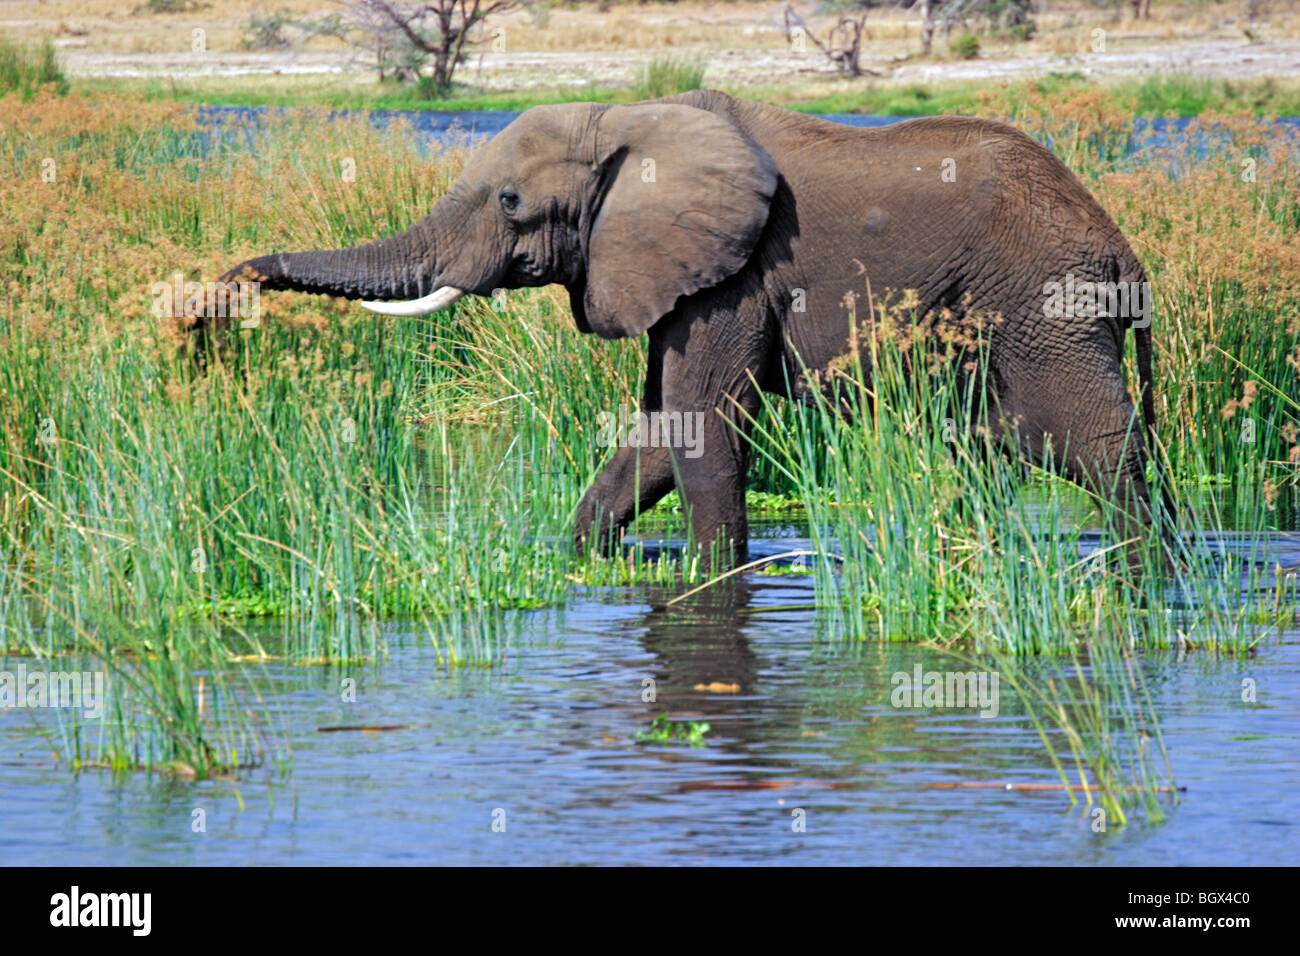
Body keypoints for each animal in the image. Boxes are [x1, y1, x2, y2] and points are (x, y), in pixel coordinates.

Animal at [216, 90, 1162, 569]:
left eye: (512, 201)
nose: (231, 286)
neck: (634, 118)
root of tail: (1123, 248)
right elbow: (659, 431)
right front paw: (581, 557)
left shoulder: (735, 272)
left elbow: (704, 425)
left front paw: (714, 583)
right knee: (1008, 444)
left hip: (1047, 306)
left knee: (1089, 448)